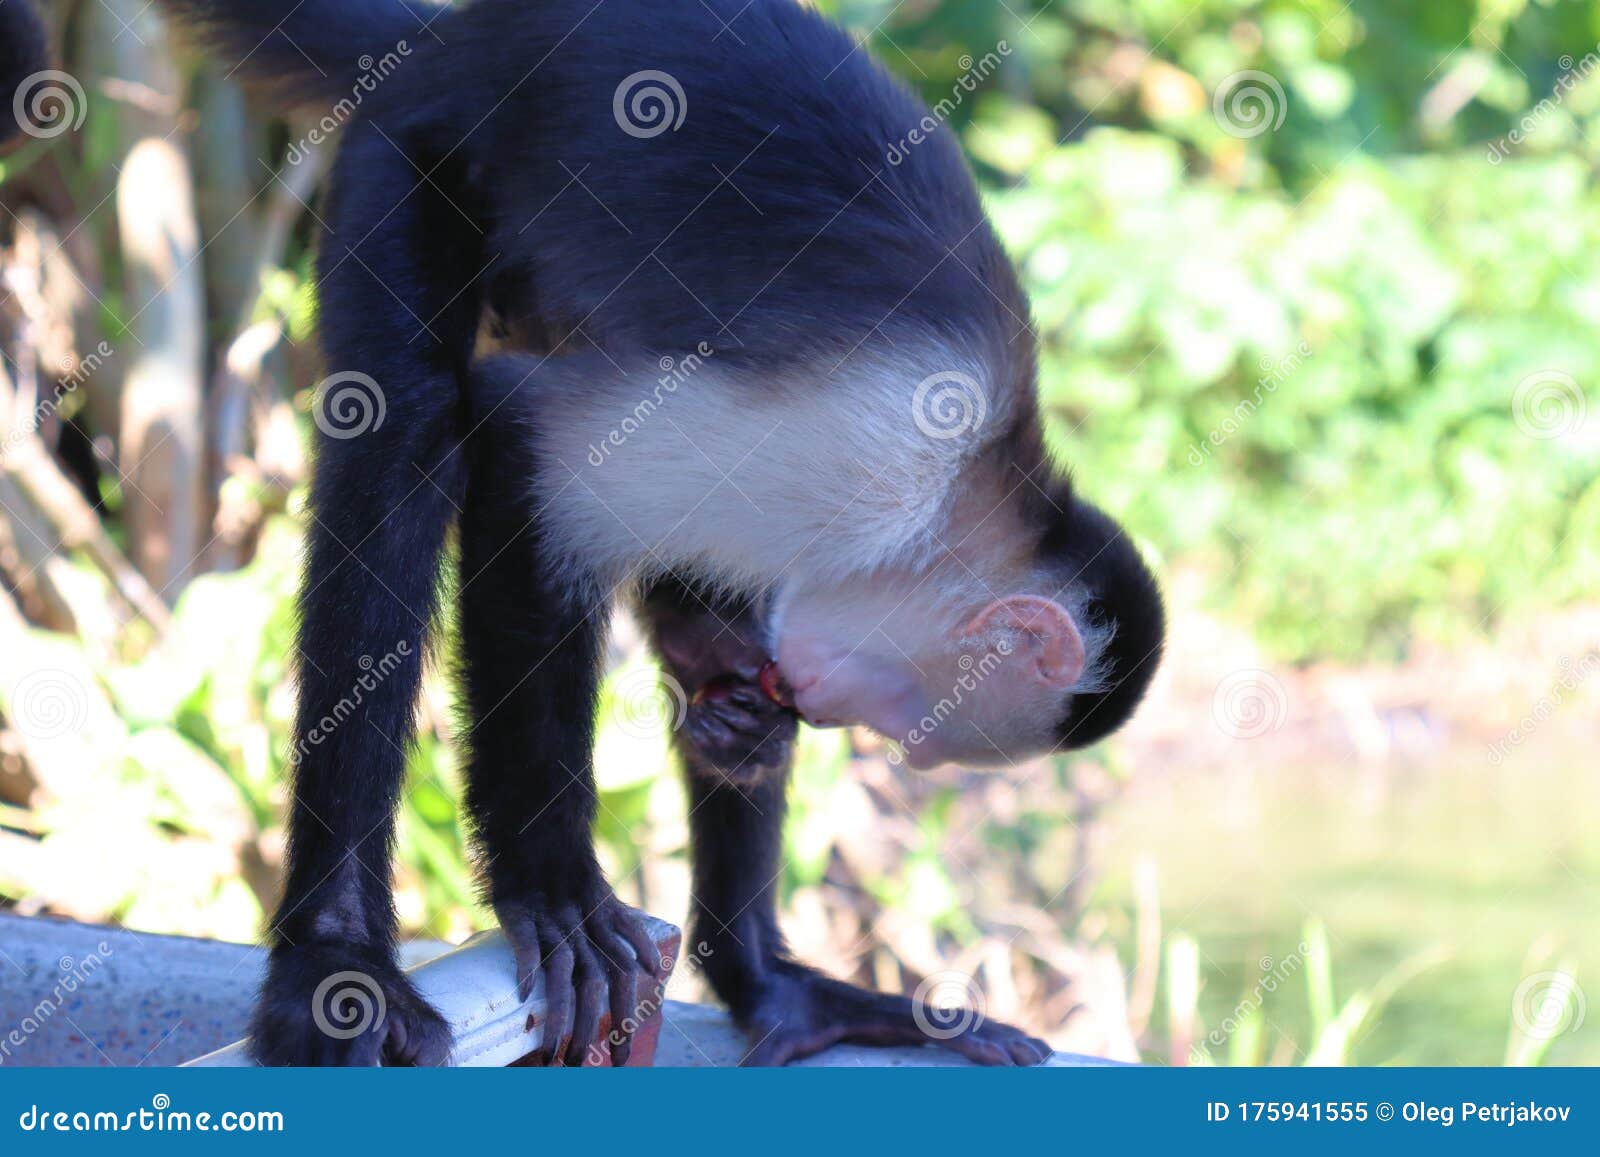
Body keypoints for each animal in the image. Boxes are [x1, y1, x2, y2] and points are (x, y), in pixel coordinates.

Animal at [155, 0, 1166, 1067]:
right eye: (915, 731)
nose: (833, 715)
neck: (970, 482)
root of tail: (460, 37)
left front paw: (746, 771)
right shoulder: (877, 450)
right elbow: (525, 436)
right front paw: (553, 888)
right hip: (417, 147)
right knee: (406, 427)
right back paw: (334, 959)